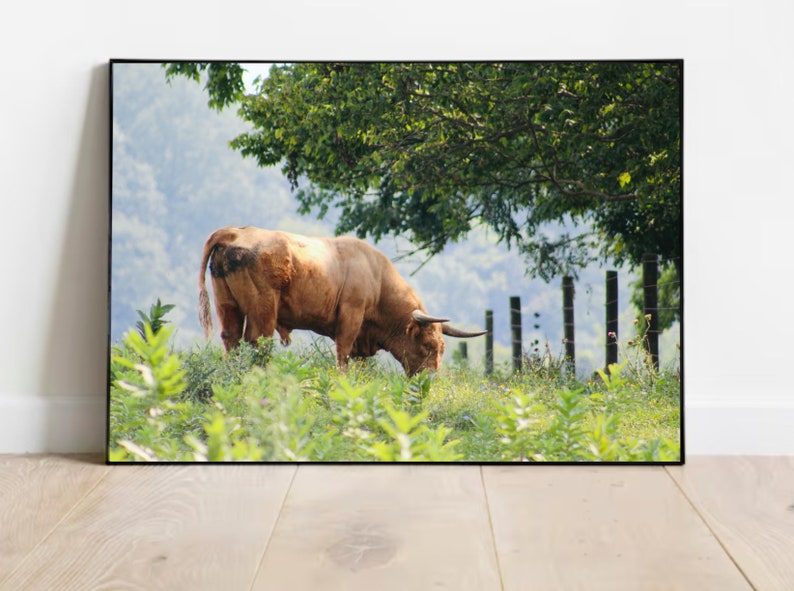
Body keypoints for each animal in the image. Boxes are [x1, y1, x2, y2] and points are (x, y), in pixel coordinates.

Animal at [198, 226, 486, 376]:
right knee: (256, 342)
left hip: (228, 306)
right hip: (263, 311)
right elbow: (343, 353)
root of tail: (235, 232)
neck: (377, 280)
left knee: (232, 340)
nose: (430, 379)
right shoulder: (351, 316)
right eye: (427, 345)